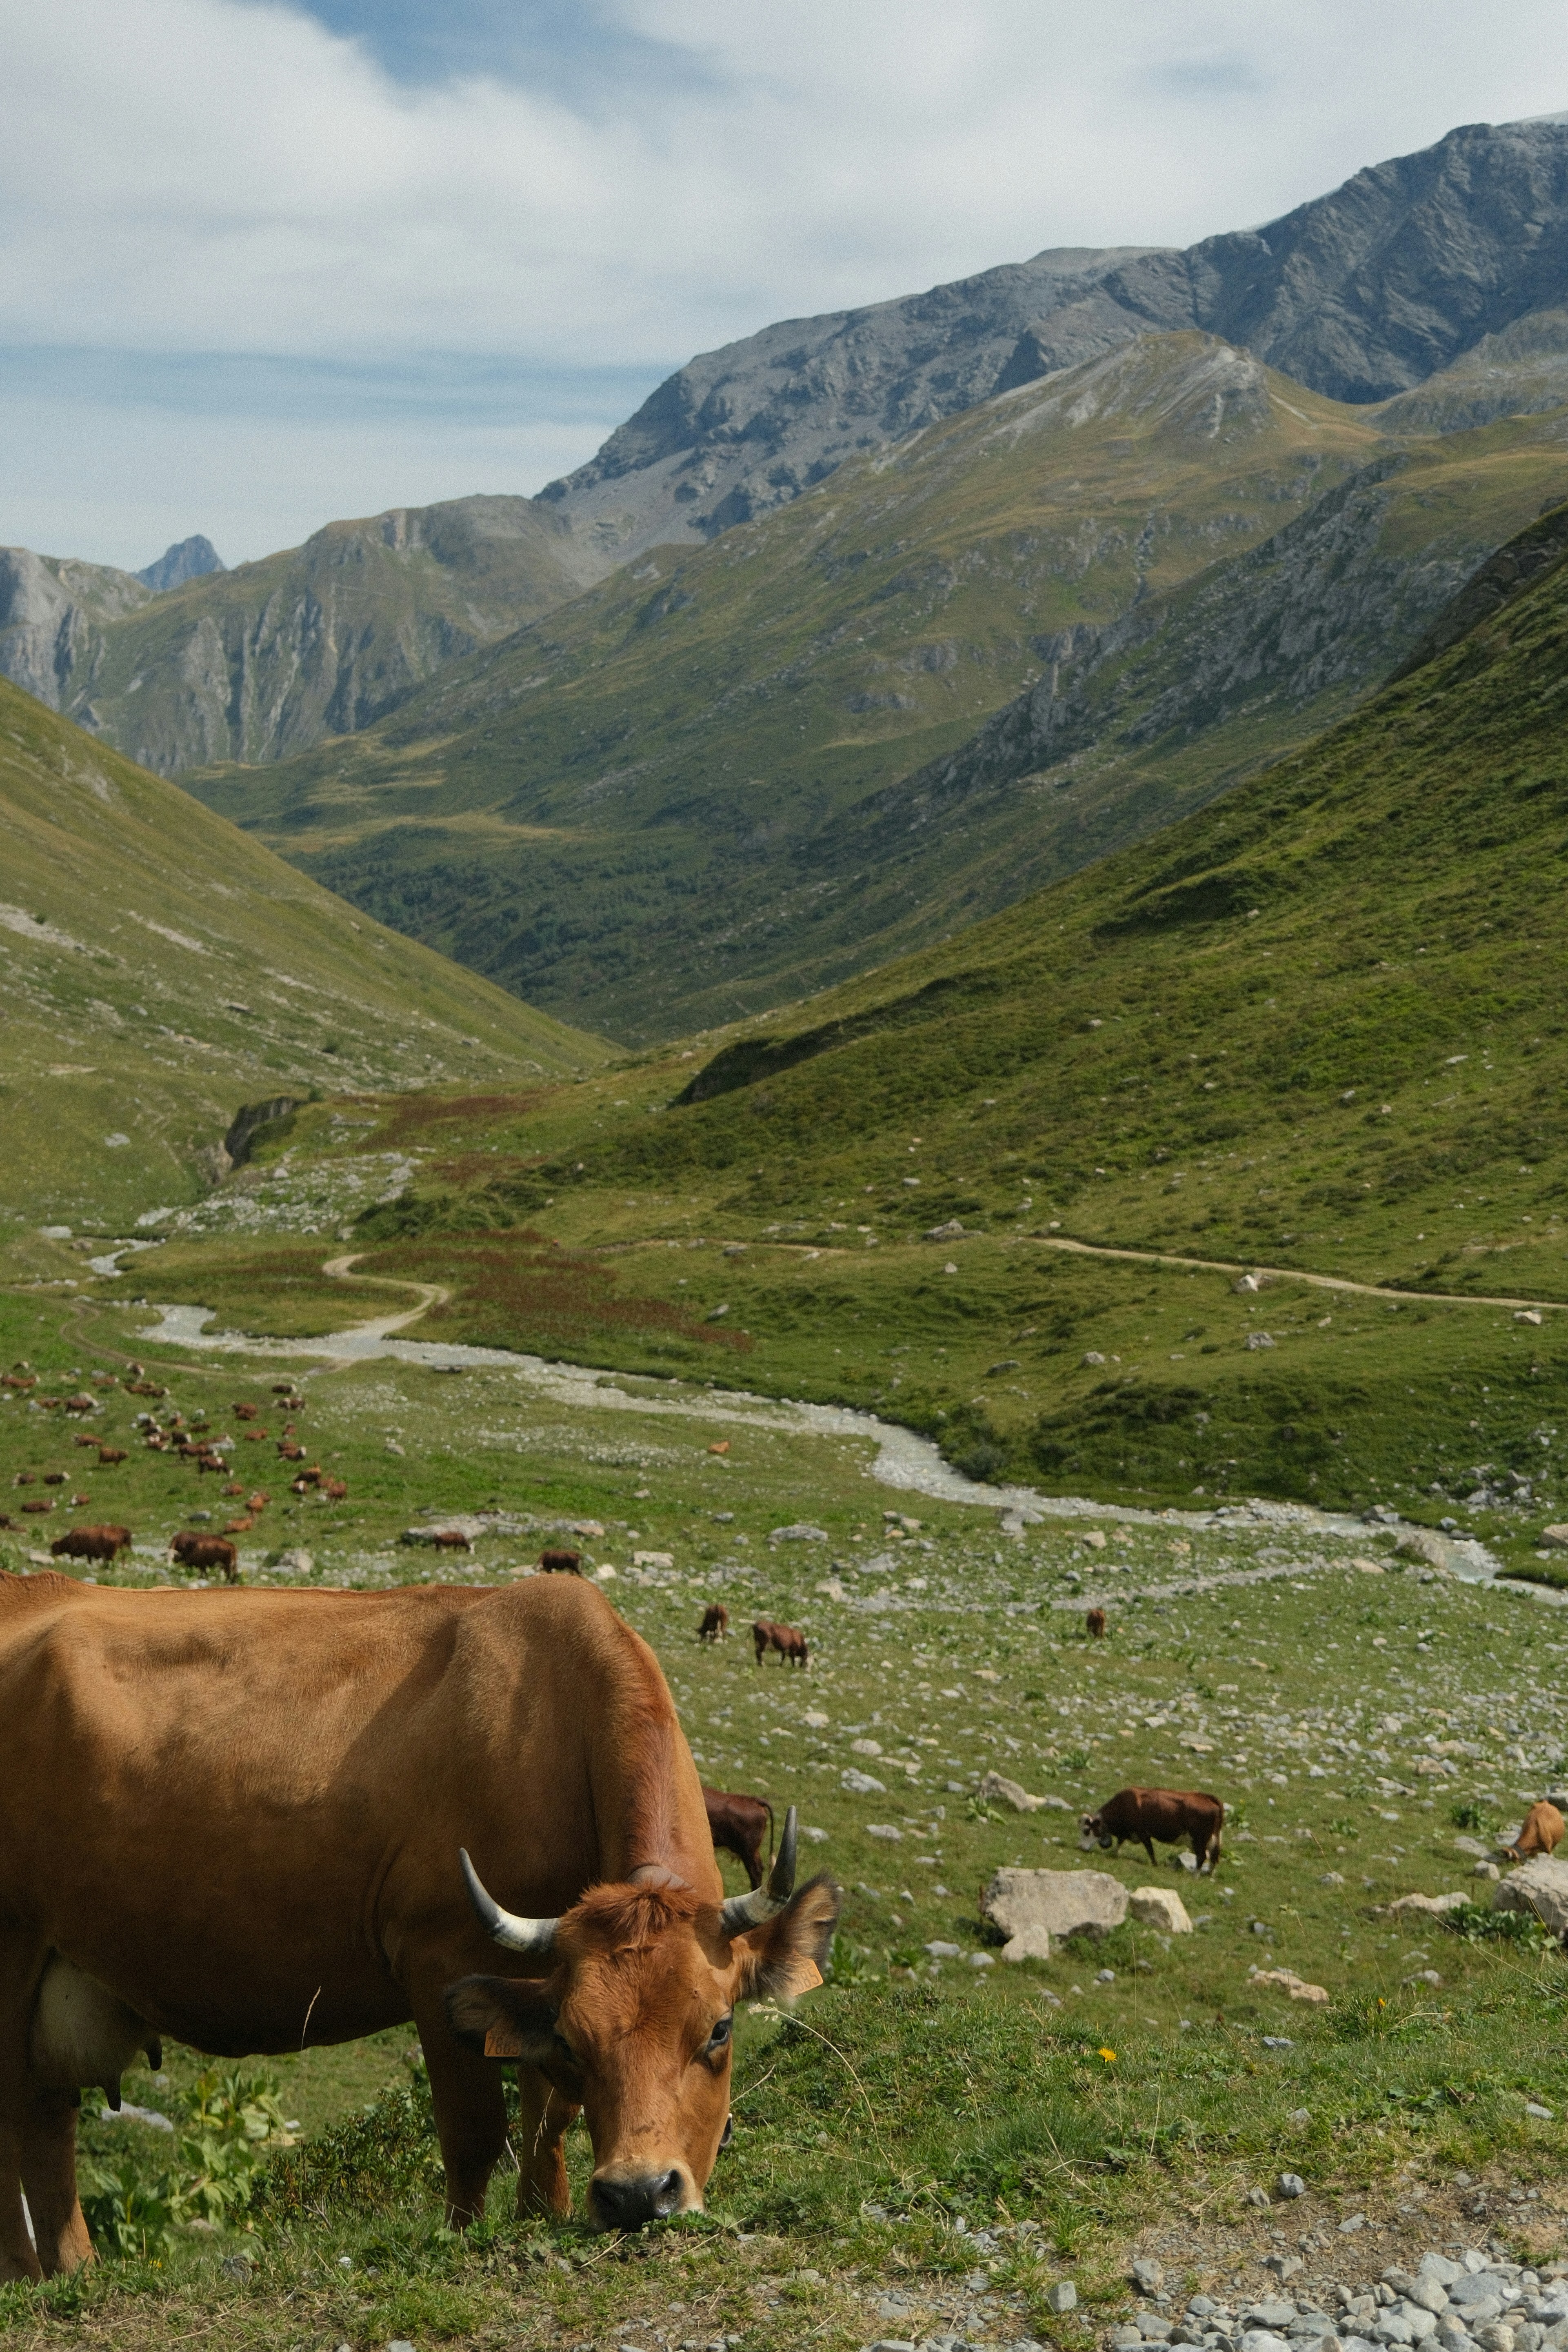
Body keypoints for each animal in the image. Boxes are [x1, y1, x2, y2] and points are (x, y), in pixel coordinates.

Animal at [168, 1533, 239, 1584]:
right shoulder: (203, 1565)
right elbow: (203, 1573)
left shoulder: (203, 1564)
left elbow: (204, 1573)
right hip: (233, 1563)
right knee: (234, 1572)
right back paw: (233, 1582)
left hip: (228, 1563)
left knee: (229, 1573)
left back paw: (228, 1582)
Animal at [753, 1619, 808, 1669]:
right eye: (806, 1658)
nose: (804, 1667)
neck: (799, 1640)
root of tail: (758, 1624)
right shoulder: (793, 1651)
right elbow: (793, 1660)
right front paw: (793, 1667)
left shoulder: (784, 1650)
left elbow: (783, 1658)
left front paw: (781, 1665)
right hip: (763, 1643)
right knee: (759, 1653)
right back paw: (762, 1665)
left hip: (758, 1643)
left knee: (757, 1652)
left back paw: (759, 1664)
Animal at [1081, 1786, 1224, 1874]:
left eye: (1086, 1831)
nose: (1081, 1847)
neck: (1125, 1804)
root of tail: (1208, 1797)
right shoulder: (1128, 1832)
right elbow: (1120, 1842)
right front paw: (1114, 1853)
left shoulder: (1142, 1832)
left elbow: (1150, 1849)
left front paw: (1154, 1864)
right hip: (1213, 1839)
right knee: (1214, 1857)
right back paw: (1208, 1874)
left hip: (1200, 1839)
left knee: (1202, 1857)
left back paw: (1195, 1875)